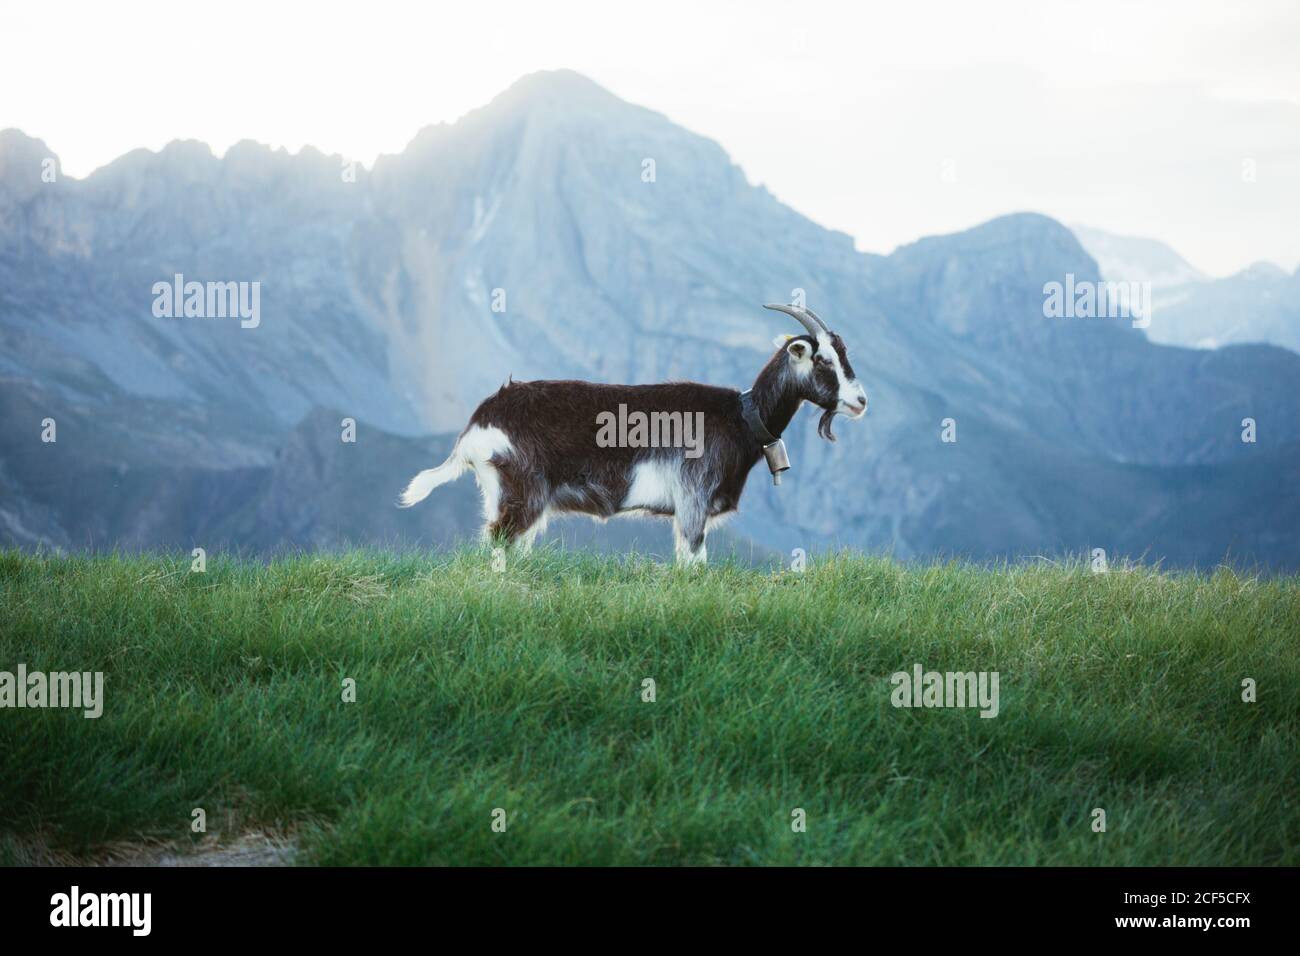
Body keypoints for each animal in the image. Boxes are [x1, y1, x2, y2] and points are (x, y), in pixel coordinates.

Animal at [398, 304, 868, 565]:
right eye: (823, 360)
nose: (861, 401)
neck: (740, 416)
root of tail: (477, 424)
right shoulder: (692, 500)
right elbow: (694, 565)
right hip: (519, 493)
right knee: (495, 545)